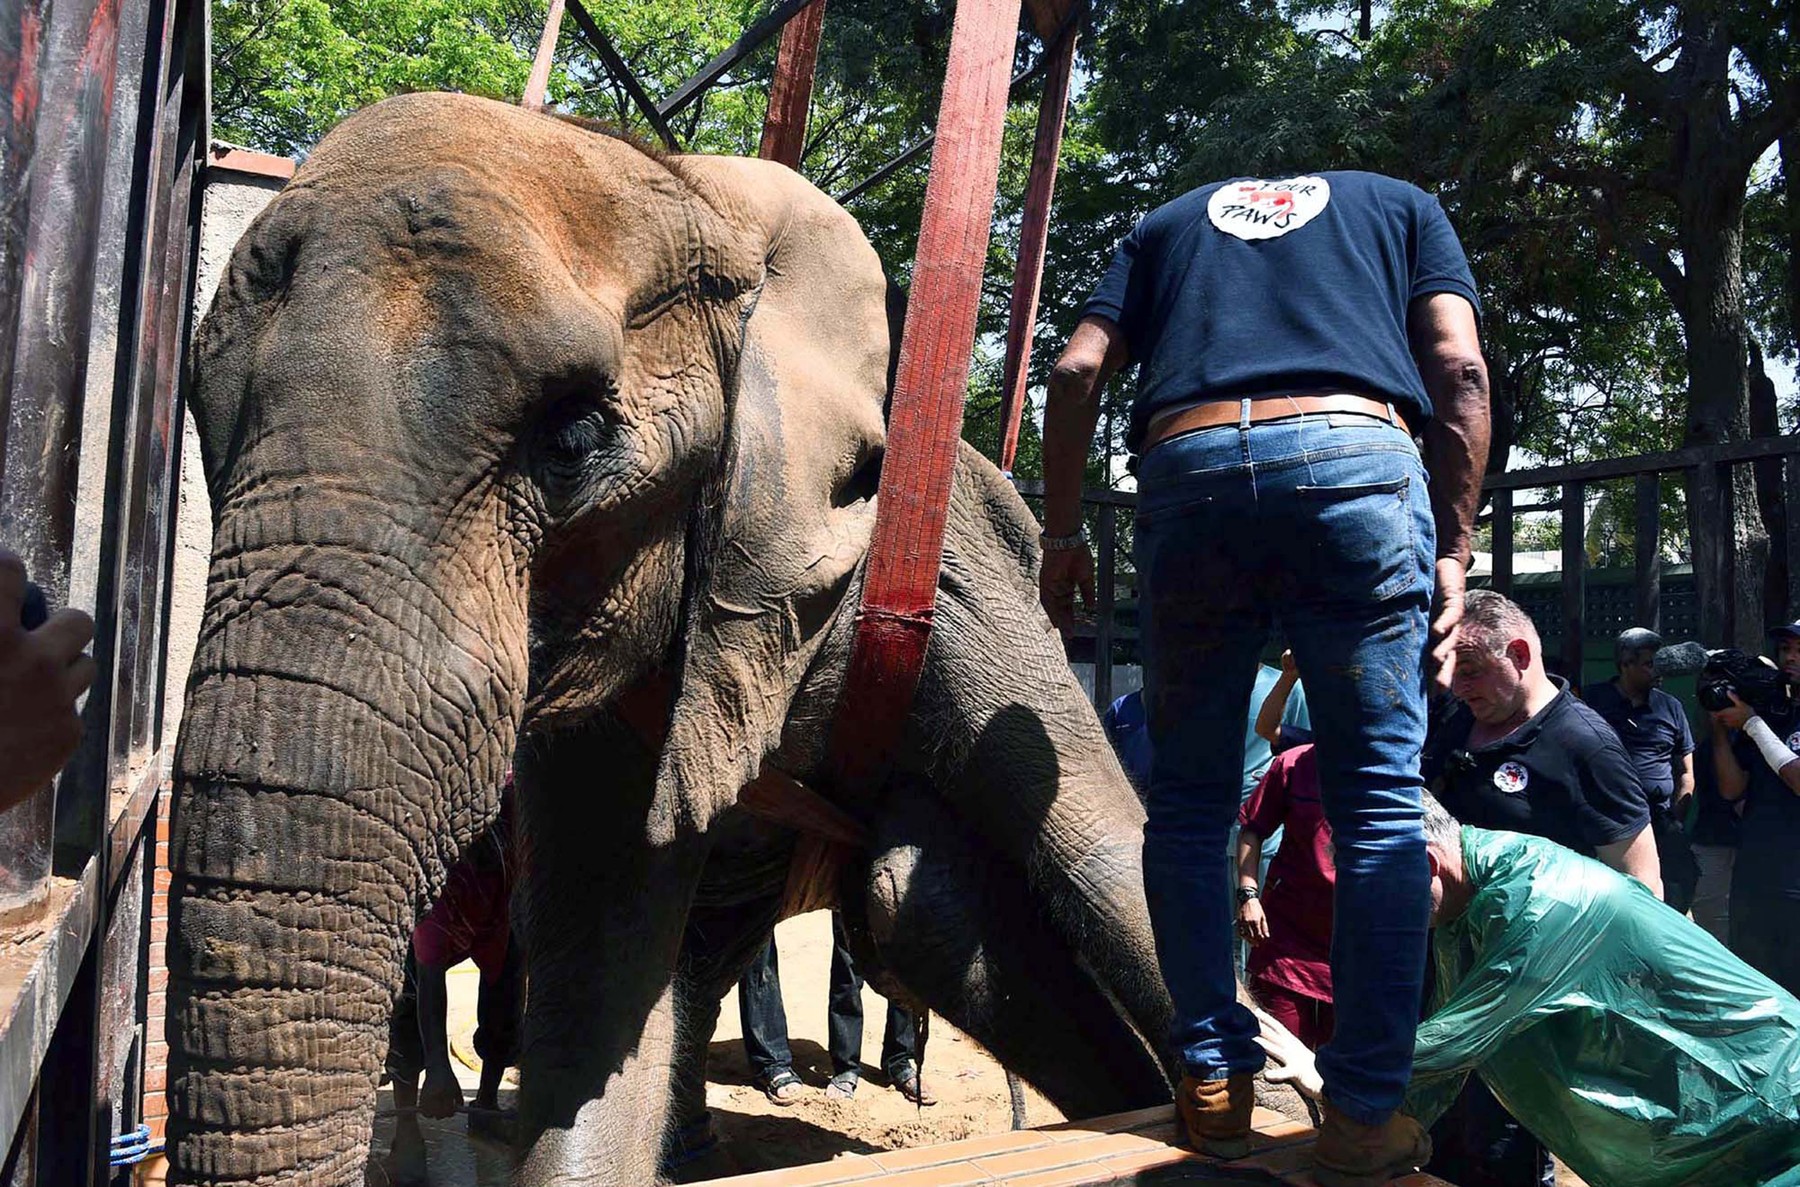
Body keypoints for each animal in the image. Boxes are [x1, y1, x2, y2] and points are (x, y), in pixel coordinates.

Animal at [167, 91, 1186, 1187]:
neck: (698, 195)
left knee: (928, 895)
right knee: (908, 903)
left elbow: (1109, 857)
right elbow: (600, 982)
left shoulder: (951, 561)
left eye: (574, 439)